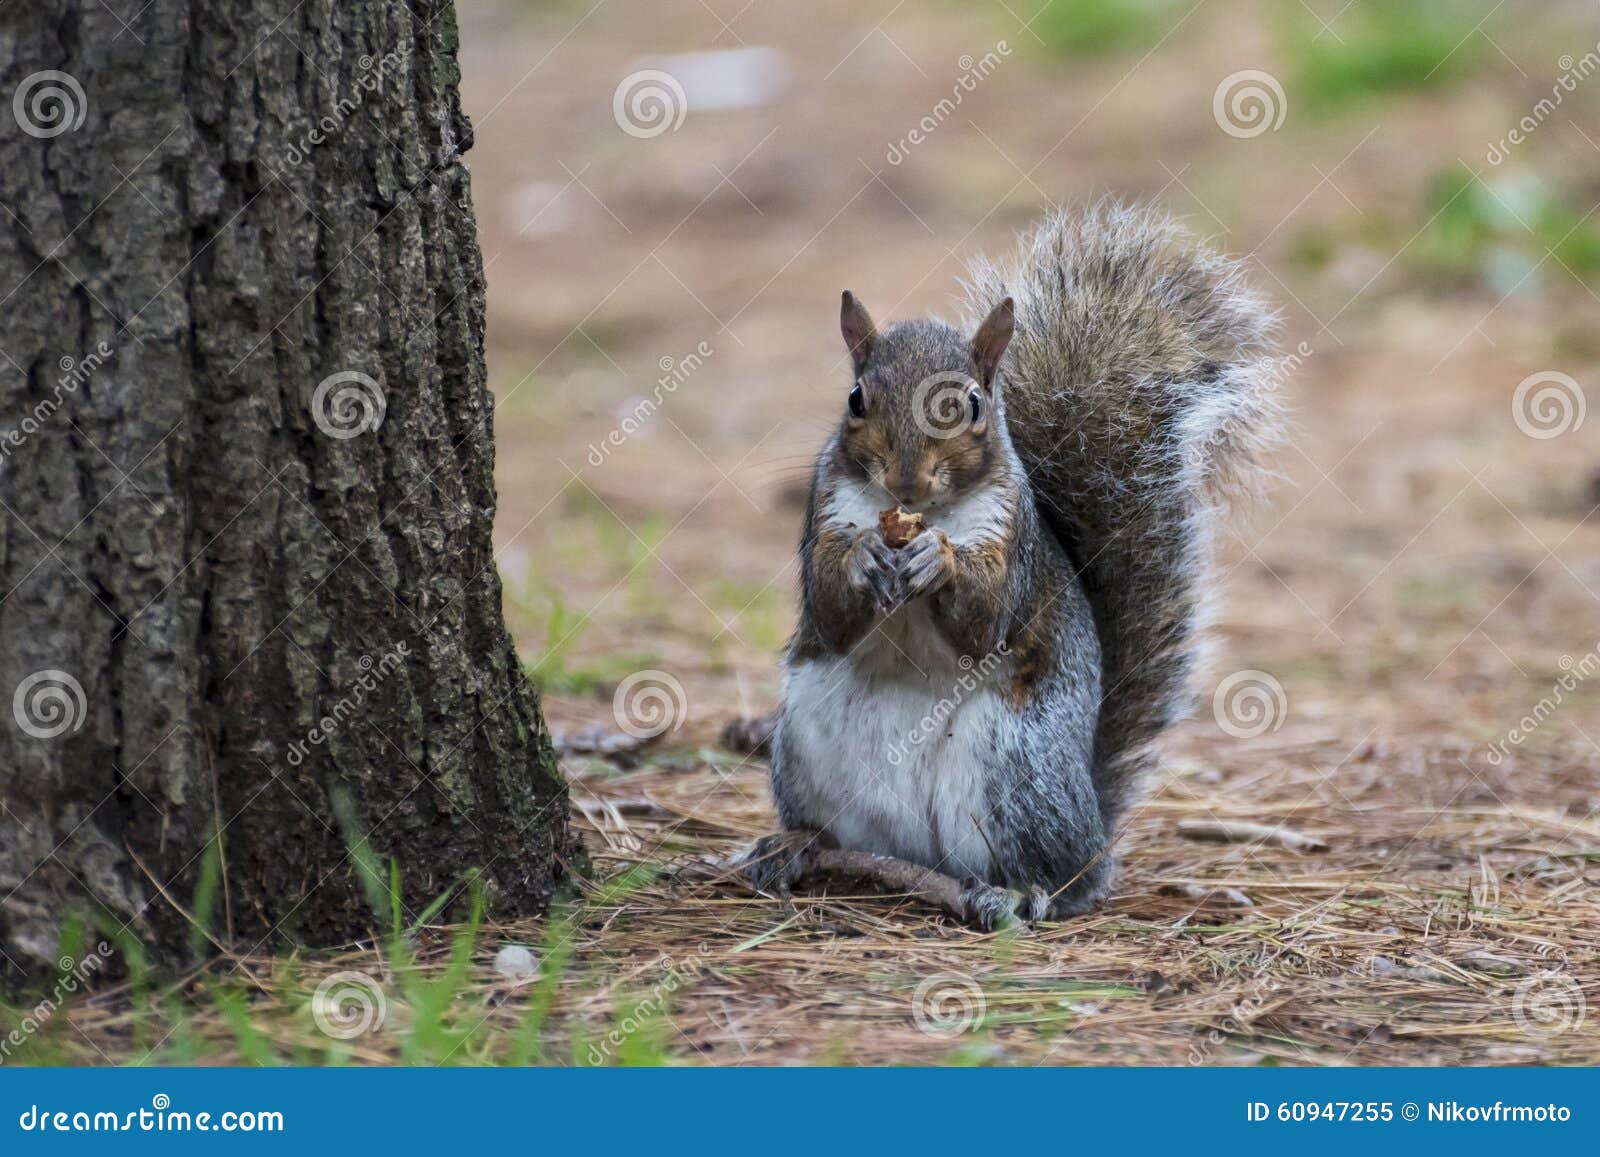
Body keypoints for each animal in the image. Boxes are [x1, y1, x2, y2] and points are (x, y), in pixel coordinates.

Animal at [745, 202, 1283, 927]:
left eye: (972, 404)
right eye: (857, 398)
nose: (907, 480)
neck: (925, 511)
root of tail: (1092, 822)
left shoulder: (1012, 539)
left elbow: (985, 620)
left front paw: (938, 560)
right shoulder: (823, 512)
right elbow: (830, 611)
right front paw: (865, 555)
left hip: (1017, 770)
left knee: (1058, 876)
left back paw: (1019, 892)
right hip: (803, 746)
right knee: (830, 827)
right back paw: (795, 846)